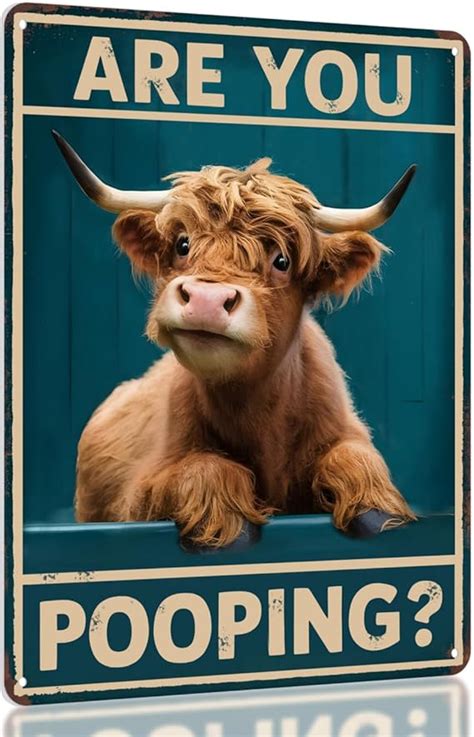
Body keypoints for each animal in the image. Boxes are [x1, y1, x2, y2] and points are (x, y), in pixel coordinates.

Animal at [53, 131, 417, 547]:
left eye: (282, 260)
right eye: (182, 244)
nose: (206, 300)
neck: (257, 417)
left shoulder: (347, 433)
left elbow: (355, 458)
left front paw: (376, 512)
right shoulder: (137, 492)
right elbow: (202, 468)